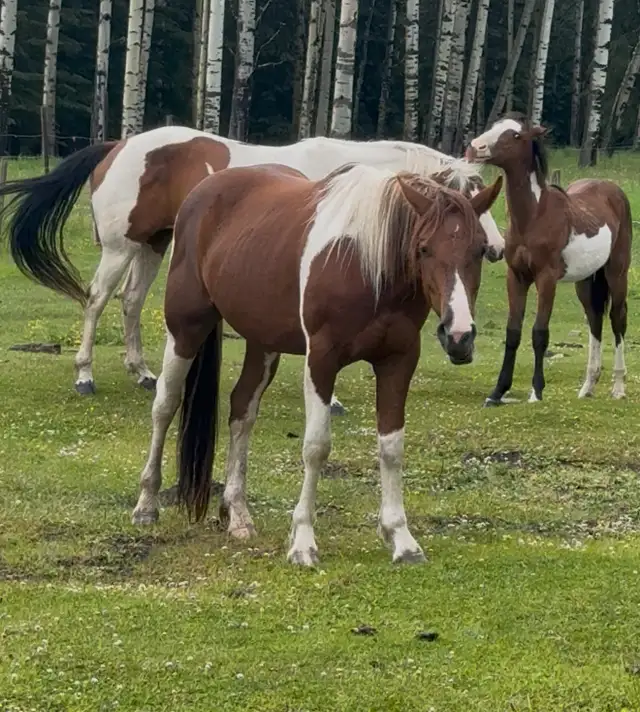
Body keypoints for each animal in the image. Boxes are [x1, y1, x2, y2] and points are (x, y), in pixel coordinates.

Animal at [0, 125, 504, 414]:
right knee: (96, 300)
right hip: (120, 248)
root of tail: (120, 145)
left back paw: (143, 373)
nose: (497, 247)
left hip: (152, 246)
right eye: (469, 198)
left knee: (130, 302)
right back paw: (84, 375)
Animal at [130, 161, 503, 565]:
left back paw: (238, 515)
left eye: (479, 249)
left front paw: (401, 538)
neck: (367, 263)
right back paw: (146, 504)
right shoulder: (321, 360)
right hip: (185, 329)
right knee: (165, 406)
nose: (459, 336)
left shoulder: (398, 361)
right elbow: (316, 446)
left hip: (262, 343)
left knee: (242, 412)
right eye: (424, 248)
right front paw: (303, 541)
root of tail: (203, 189)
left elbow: (391, 448)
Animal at [466, 113, 632, 405]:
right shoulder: (516, 277)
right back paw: (587, 386)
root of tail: (613, 190)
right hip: (585, 282)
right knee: (595, 320)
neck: (533, 217)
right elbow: (512, 332)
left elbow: (539, 333)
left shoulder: (546, 279)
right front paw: (497, 392)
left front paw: (536, 391)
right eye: (494, 127)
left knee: (617, 319)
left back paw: (618, 388)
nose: (475, 147)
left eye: (516, 135)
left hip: (617, 273)